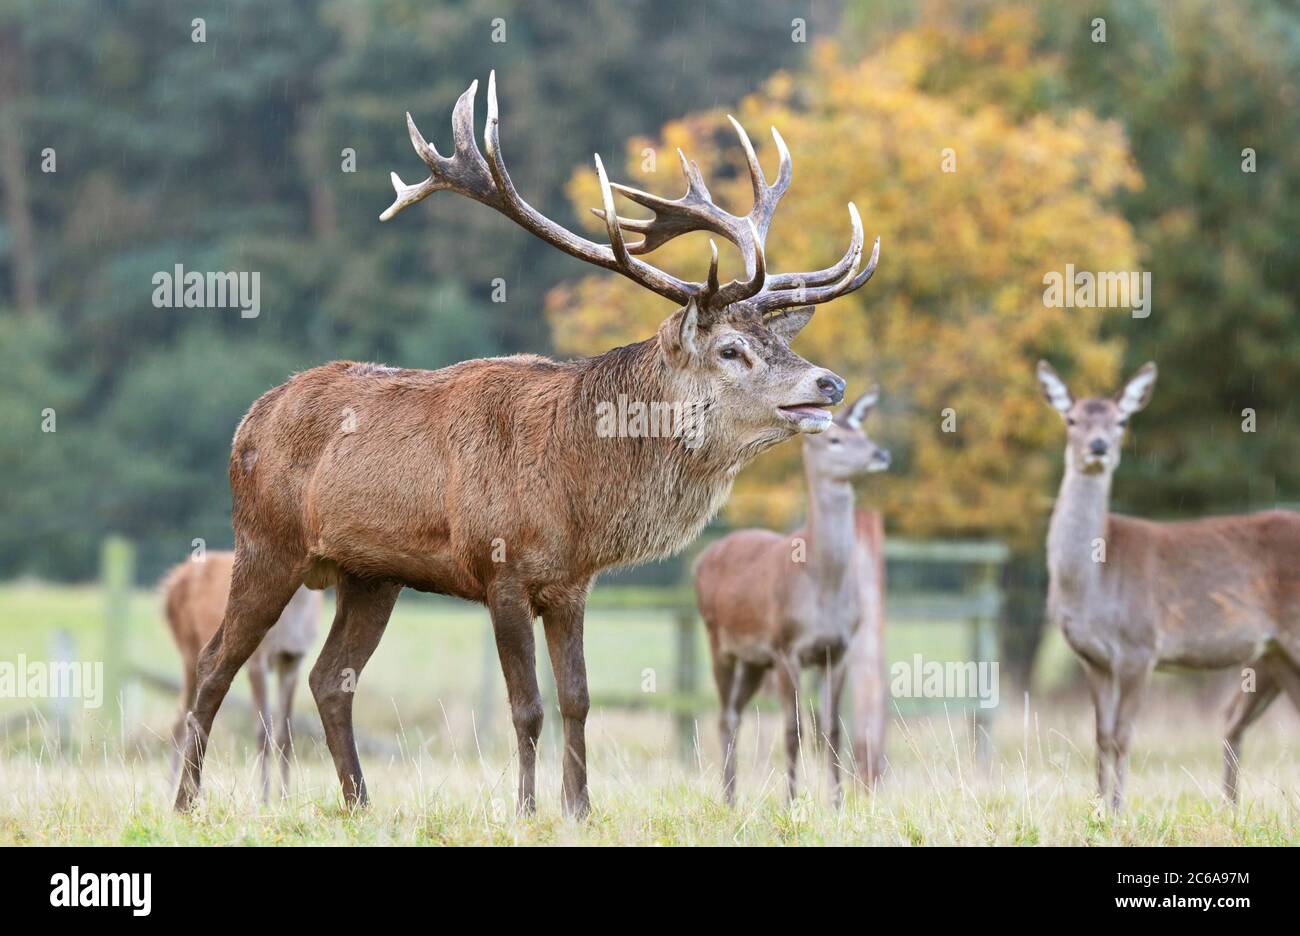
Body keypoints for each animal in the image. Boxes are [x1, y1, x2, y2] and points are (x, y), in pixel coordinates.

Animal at [161, 552, 321, 800]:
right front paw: (264, 799)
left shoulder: (293, 659)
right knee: (179, 718)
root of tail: (170, 581)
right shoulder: (258, 660)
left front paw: (286, 799)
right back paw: (171, 791)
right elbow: (262, 731)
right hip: (187, 648)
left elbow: (285, 735)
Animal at [694, 387, 889, 804]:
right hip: (719, 639)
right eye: (836, 440)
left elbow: (831, 728)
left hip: (755, 660)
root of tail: (702, 559)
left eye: (864, 434)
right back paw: (728, 798)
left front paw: (837, 803)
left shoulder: (839, 649)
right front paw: (792, 801)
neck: (821, 587)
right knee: (726, 714)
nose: (881, 454)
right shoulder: (786, 646)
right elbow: (793, 728)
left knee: (737, 712)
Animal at [1037, 360, 1300, 812]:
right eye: (1071, 419)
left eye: (1121, 420)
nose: (1099, 446)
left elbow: (1123, 735)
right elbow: (1101, 737)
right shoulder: (1093, 658)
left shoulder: (1141, 646)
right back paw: (1231, 808)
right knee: (1238, 717)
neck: (1091, 584)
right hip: (1275, 653)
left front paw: (1117, 809)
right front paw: (1097, 805)